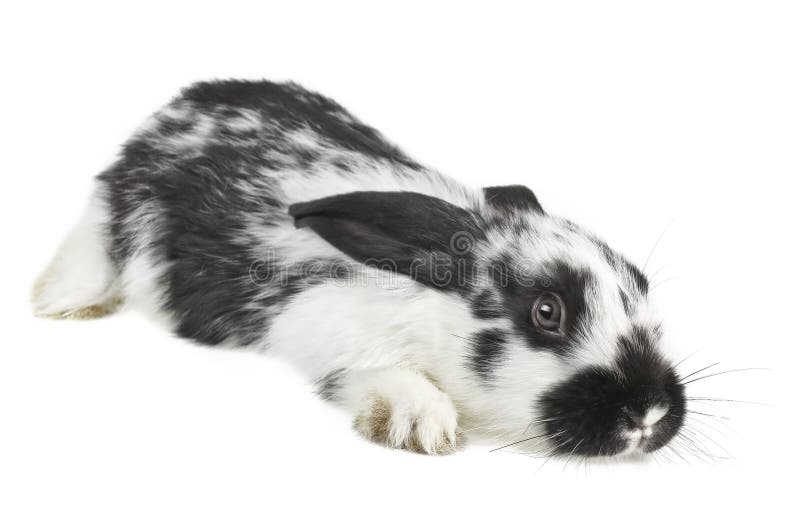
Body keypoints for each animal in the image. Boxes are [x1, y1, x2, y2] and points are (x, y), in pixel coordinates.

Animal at [33, 79, 686, 456]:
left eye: (642, 291)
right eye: (548, 311)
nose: (649, 414)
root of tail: (168, 111)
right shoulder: (317, 320)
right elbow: (378, 370)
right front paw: (421, 423)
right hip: (118, 213)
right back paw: (63, 301)